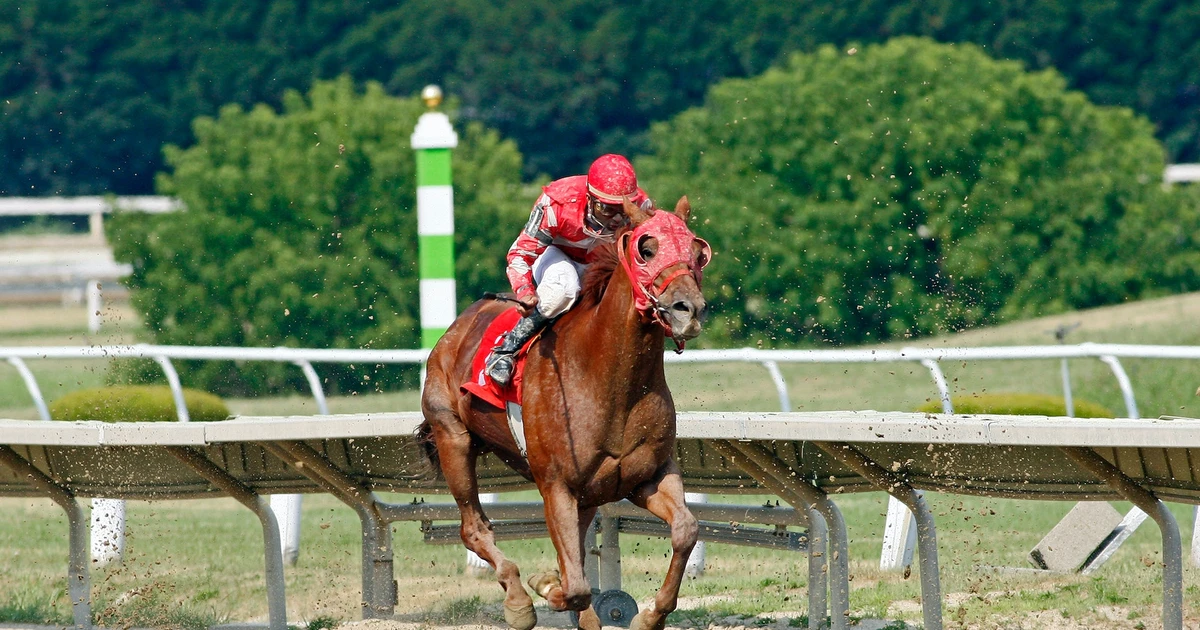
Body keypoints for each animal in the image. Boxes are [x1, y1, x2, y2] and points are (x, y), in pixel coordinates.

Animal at [418, 195, 711, 630]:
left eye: (696, 250)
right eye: (646, 249)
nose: (687, 310)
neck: (608, 381)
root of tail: (458, 326)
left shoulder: (648, 476)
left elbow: (686, 530)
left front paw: (650, 617)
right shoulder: (555, 485)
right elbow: (573, 586)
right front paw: (544, 586)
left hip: (587, 496)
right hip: (452, 436)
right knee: (474, 529)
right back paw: (518, 603)